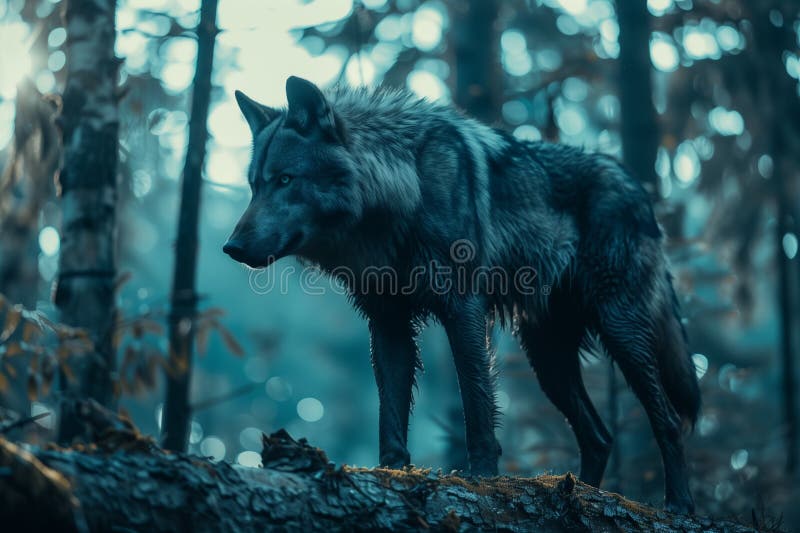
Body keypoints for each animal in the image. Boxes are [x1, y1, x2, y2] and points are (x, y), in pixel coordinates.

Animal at [223, 76, 701, 513]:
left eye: (286, 179)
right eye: (254, 185)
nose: (231, 248)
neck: (404, 191)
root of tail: (639, 190)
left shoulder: (463, 310)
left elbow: (476, 403)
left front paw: (483, 478)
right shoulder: (389, 325)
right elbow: (390, 413)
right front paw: (391, 473)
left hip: (620, 334)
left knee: (670, 421)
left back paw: (678, 506)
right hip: (547, 360)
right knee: (599, 437)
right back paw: (582, 497)